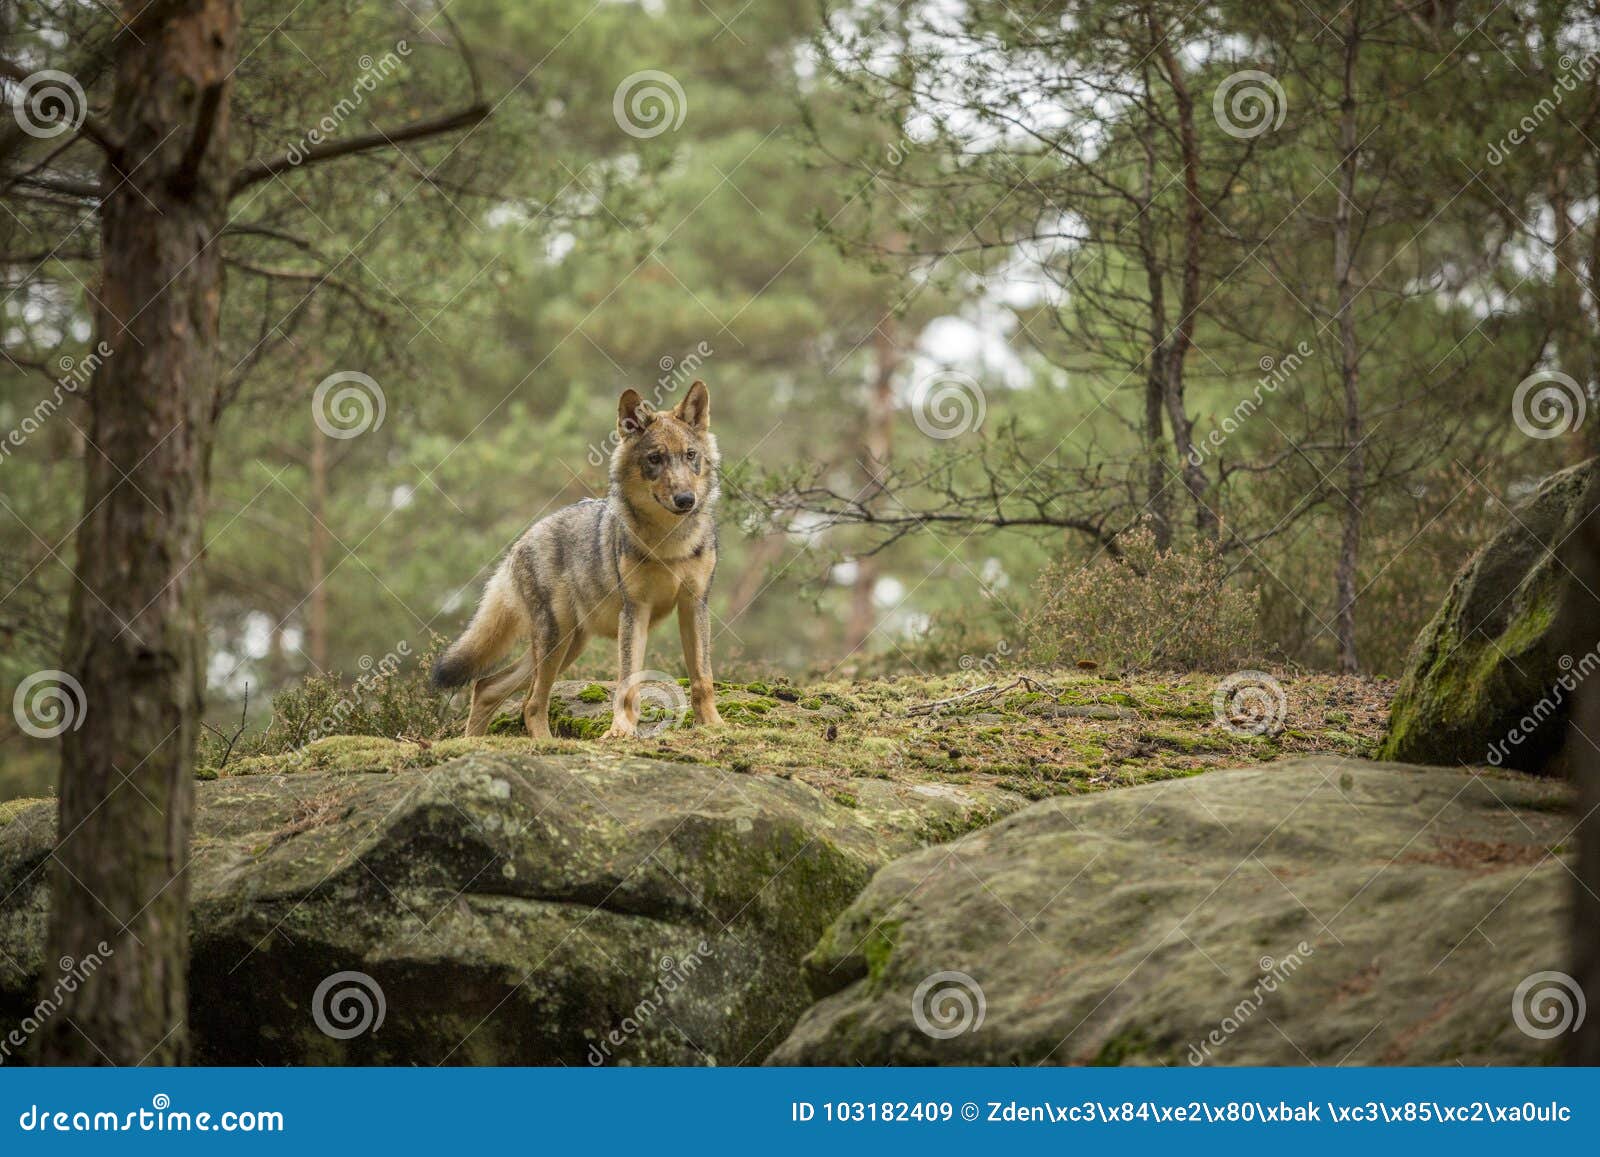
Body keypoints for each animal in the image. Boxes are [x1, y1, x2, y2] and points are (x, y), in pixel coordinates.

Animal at [431, 381, 725, 739]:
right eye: (655, 458)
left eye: (690, 455)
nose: (685, 499)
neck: (671, 542)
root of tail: (519, 542)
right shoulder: (635, 611)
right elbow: (627, 683)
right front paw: (620, 732)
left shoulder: (694, 604)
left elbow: (702, 679)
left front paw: (714, 725)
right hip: (556, 641)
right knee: (530, 703)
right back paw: (545, 745)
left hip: (567, 645)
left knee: (487, 686)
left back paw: (475, 741)